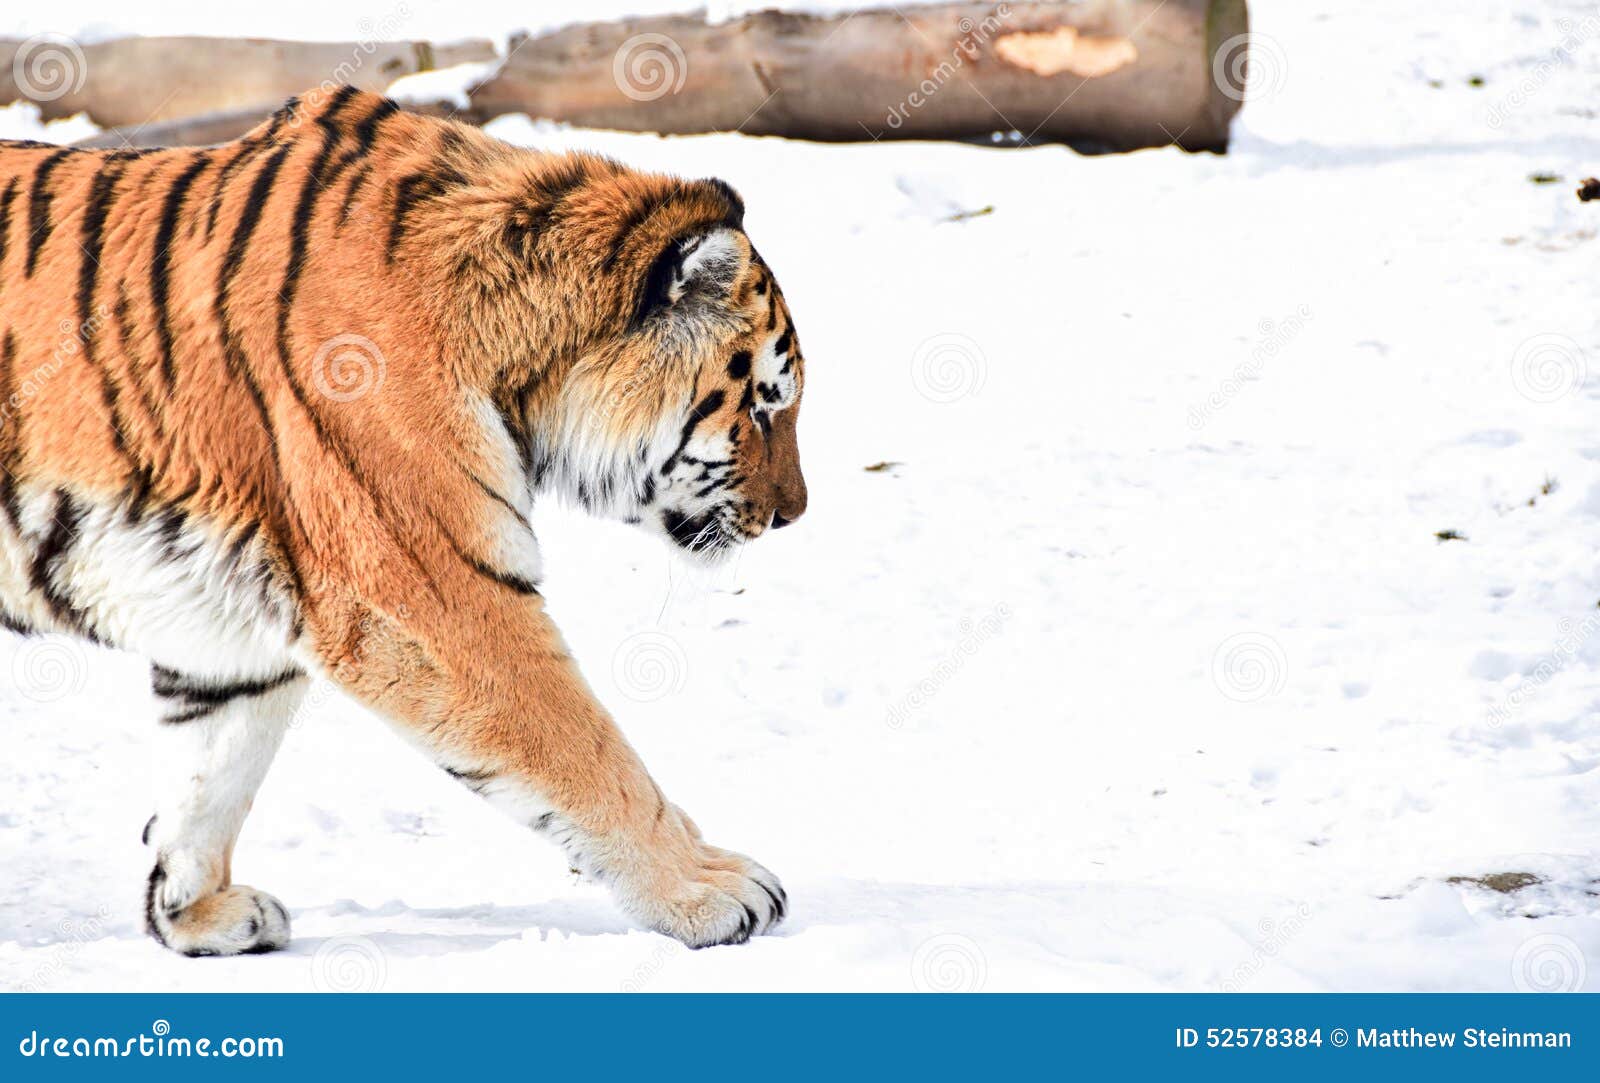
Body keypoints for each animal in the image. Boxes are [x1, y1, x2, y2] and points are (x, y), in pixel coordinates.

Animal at [0, 86, 808, 956]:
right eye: (763, 408)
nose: (794, 514)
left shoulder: (236, 629)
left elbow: (210, 772)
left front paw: (194, 913)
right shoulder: (434, 591)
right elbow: (587, 749)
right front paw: (709, 890)